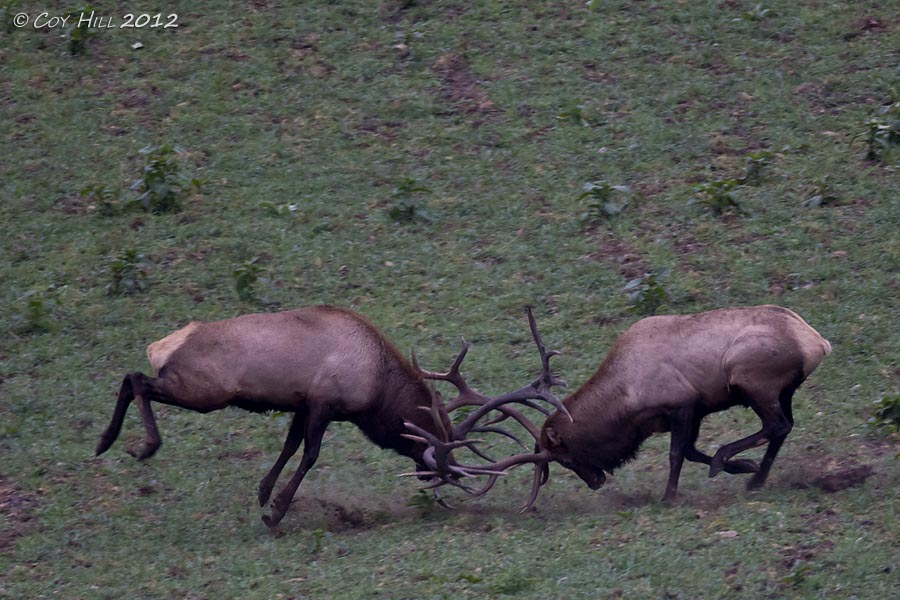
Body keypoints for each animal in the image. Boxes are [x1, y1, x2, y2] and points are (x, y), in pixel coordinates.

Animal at [95, 305, 566, 527]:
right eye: (428, 444)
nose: (430, 474)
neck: (377, 388)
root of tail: (163, 344)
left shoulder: (302, 403)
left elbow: (289, 446)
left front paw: (264, 492)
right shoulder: (323, 401)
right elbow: (310, 455)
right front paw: (277, 511)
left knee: (130, 378)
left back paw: (106, 441)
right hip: (204, 391)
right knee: (137, 379)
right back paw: (136, 445)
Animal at [406, 305, 832, 510]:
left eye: (564, 456)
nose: (595, 480)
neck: (626, 399)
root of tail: (817, 343)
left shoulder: (683, 404)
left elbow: (679, 454)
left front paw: (669, 496)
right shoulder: (689, 413)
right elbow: (690, 450)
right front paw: (740, 466)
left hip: (753, 380)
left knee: (776, 425)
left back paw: (733, 462)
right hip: (783, 389)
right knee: (786, 426)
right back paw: (755, 477)